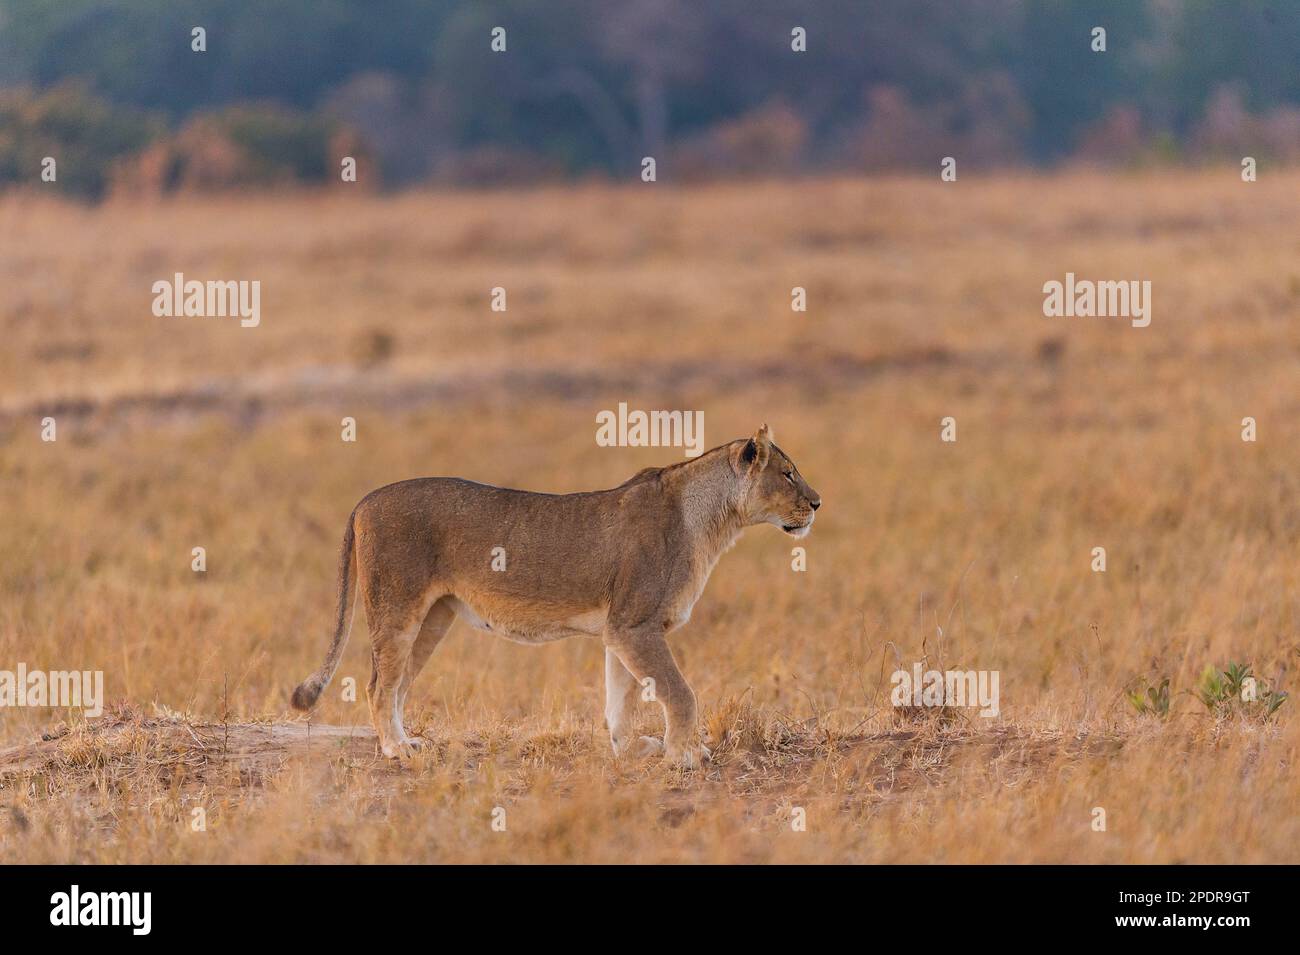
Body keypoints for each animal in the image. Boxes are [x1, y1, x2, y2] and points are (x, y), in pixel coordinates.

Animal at [291, 424, 820, 767]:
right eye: (788, 473)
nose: (817, 503)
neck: (712, 520)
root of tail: (363, 500)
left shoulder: (621, 631)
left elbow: (621, 698)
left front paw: (630, 750)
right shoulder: (636, 625)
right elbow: (679, 692)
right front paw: (686, 754)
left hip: (433, 617)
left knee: (398, 685)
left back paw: (407, 742)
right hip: (397, 609)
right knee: (379, 685)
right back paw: (395, 750)